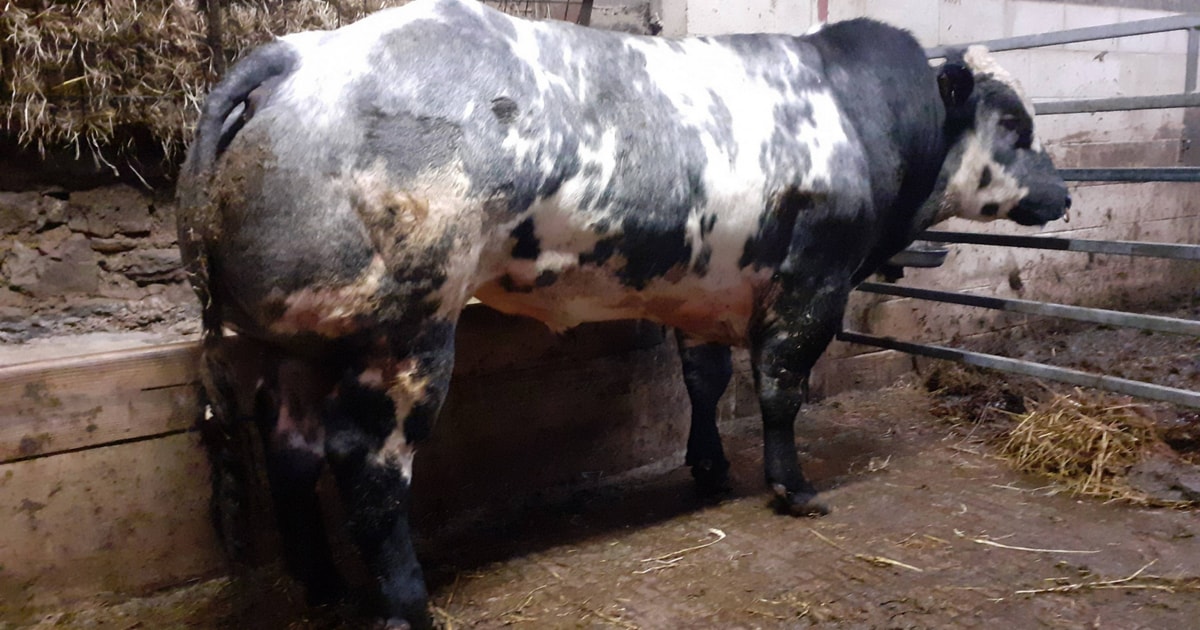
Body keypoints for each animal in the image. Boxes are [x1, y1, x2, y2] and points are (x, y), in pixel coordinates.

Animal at [176, 0, 1069, 627]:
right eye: (1014, 124)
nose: (1064, 194)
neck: (862, 117)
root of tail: (306, 49)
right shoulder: (815, 275)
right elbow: (780, 385)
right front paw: (793, 487)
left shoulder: (702, 285)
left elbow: (703, 380)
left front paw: (709, 469)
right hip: (404, 334)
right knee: (366, 461)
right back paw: (406, 603)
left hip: (296, 341)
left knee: (291, 450)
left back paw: (323, 586)